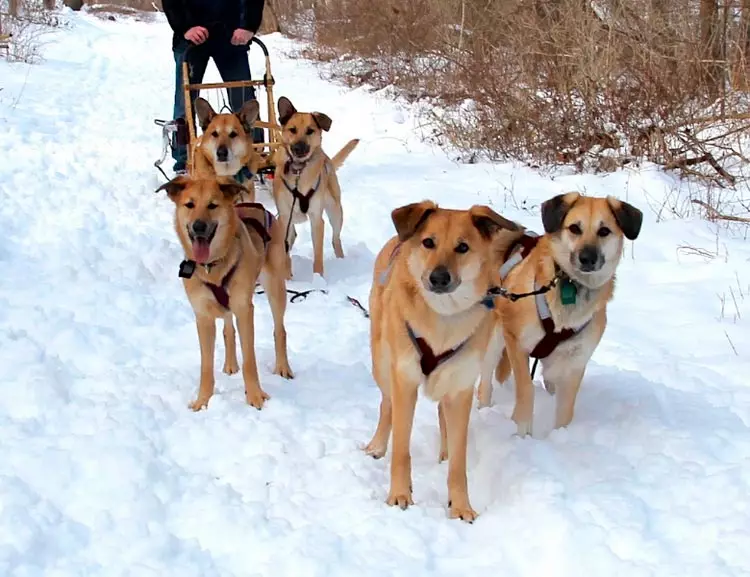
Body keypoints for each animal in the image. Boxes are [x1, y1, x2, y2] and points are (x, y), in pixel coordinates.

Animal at [157, 173, 296, 412]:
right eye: (189, 204)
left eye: (212, 205)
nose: (199, 226)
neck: (212, 266)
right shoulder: (203, 317)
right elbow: (206, 365)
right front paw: (203, 401)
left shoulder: (244, 310)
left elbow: (250, 360)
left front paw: (255, 397)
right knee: (228, 330)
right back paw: (231, 364)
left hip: (275, 287)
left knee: (280, 330)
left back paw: (282, 367)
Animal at [274, 95, 362, 280]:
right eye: (292, 130)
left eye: (310, 131)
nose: (299, 147)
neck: (298, 172)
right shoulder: (284, 219)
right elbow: (284, 254)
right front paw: (286, 278)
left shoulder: (316, 219)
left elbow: (318, 254)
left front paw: (318, 278)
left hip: (335, 212)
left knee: (336, 239)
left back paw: (341, 260)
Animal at [478, 191, 644, 434]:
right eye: (574, 228)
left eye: (604, 231)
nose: (587, 258)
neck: (570, 287)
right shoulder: (516, 343)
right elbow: (526, 389)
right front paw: (522, 432)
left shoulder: (575, 361)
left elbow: (565, 410)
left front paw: (560, 436)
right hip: (494, 338)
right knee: (485, 379)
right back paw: (483, 409)